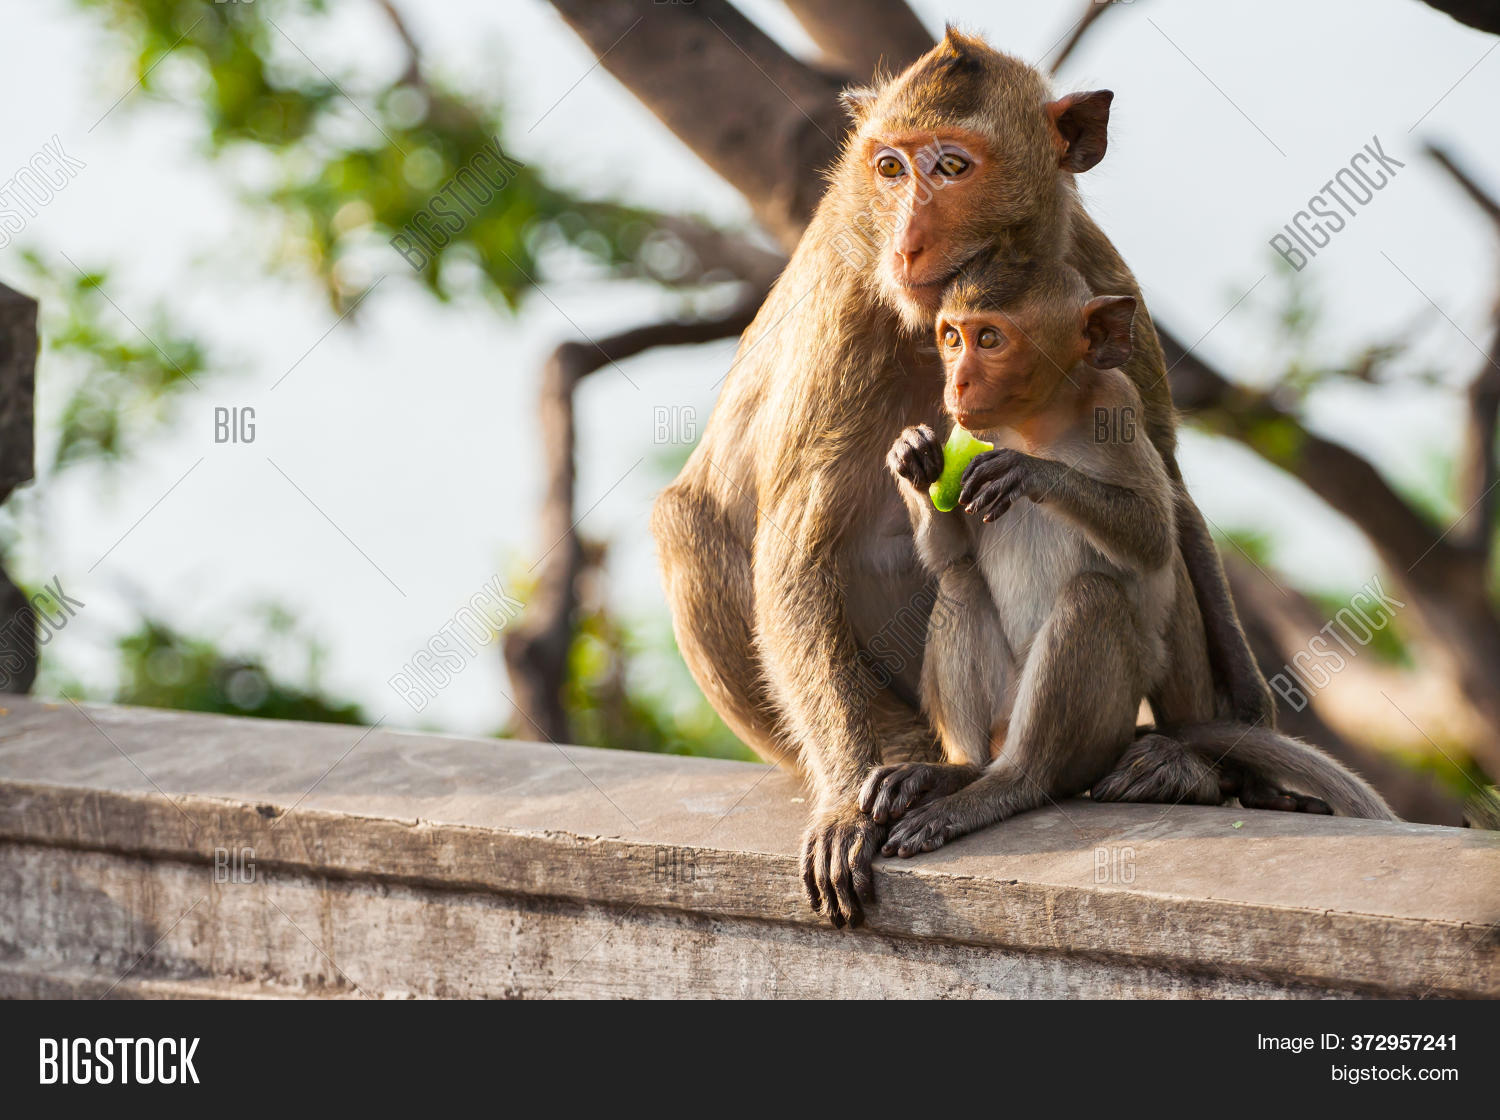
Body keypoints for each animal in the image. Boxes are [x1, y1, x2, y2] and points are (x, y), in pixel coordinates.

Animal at [651, 28, 1279, 929]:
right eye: (889, 168)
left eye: (952, 167)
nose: (908, 242)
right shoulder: (847, 300)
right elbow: (798, 546)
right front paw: (844, 805)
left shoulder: (1096, 269)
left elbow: (1167, 492)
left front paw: (1248, 734)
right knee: (689, 523)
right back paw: (915, 766)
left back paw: (1173, 764)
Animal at [864, 255, 1397, 856]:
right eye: (952, 337)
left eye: (990, 339)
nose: (957, 380)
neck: (1034, 422)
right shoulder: (965, 427)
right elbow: (950, 552)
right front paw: (912, 456)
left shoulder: (1116, 402)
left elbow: (1155, 536)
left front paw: (1033, 473)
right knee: (960, 583)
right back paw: (958, 770)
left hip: (1107, 722)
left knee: (1092, 598)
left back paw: (1010, 785)